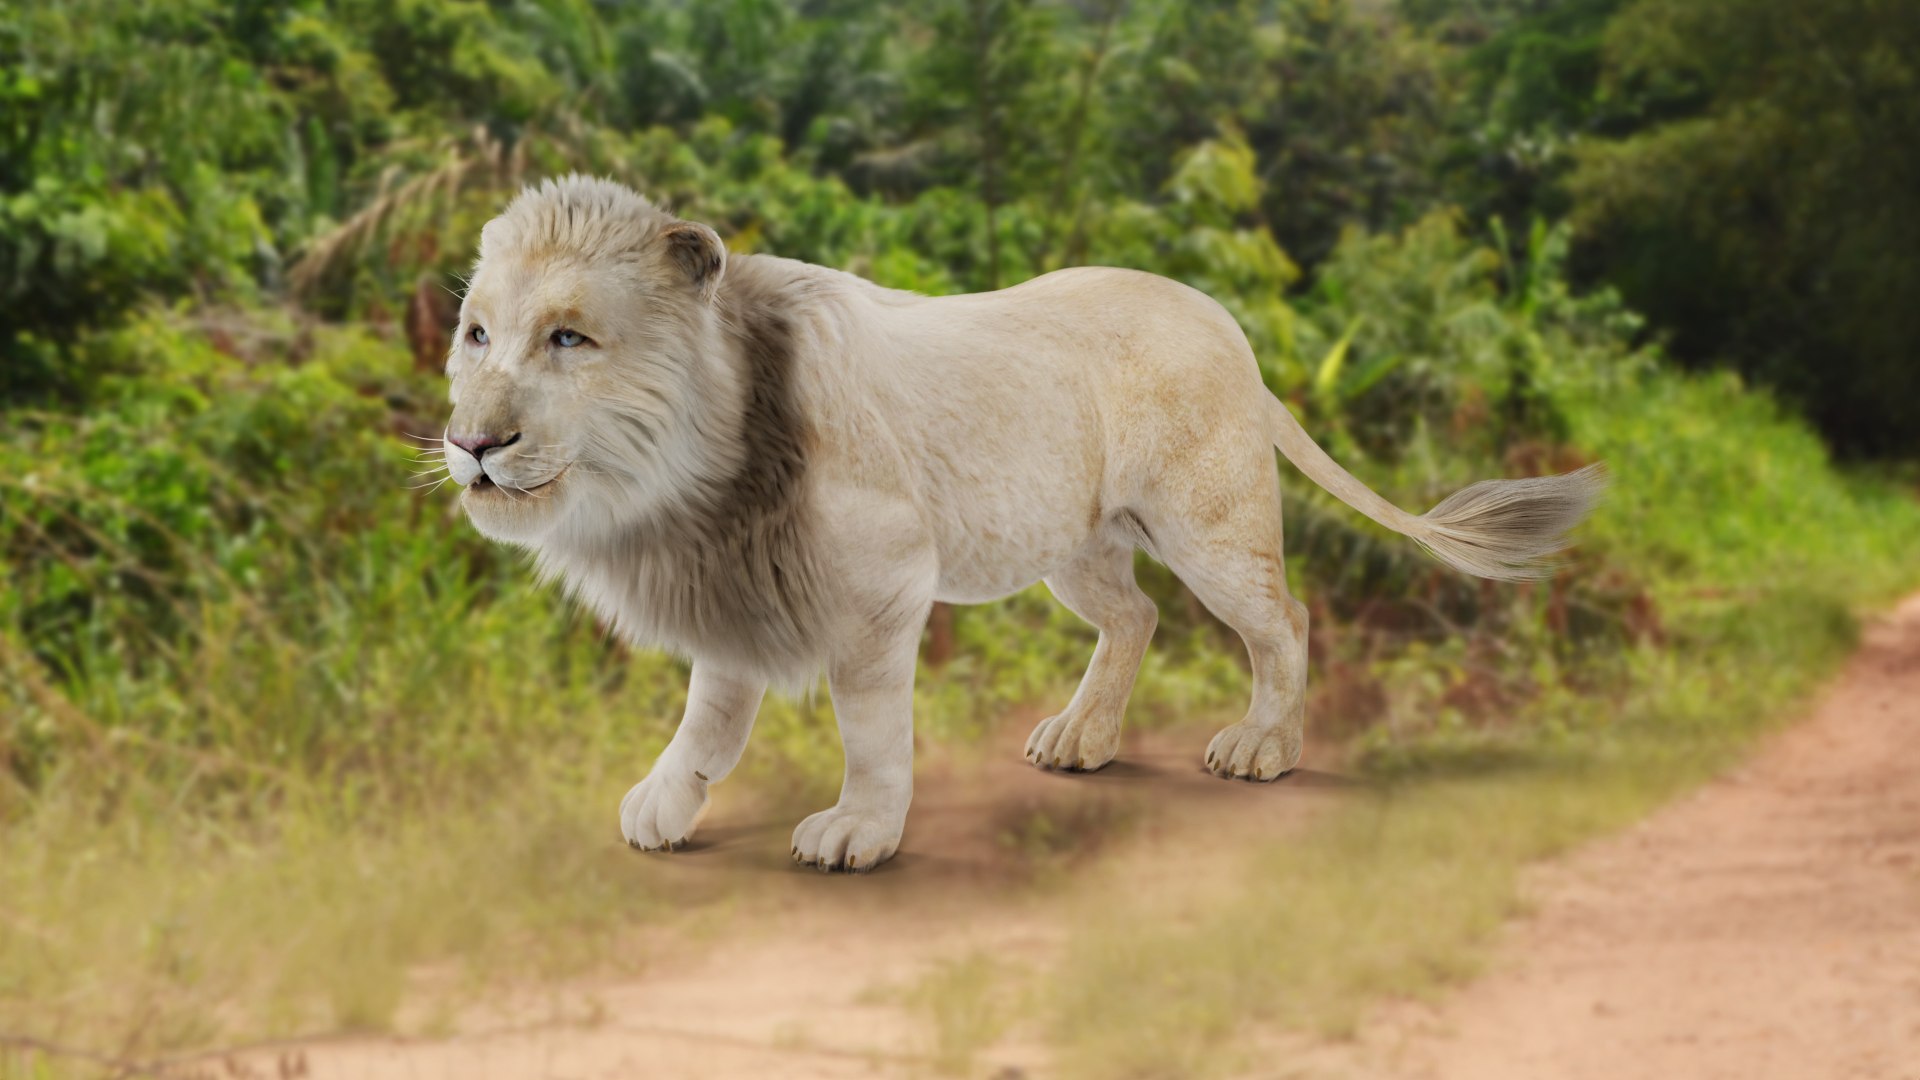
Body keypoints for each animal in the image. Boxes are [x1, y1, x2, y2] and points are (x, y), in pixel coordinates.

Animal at [440, 176, 1605, 872]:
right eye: (477, 334)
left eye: (570, 338)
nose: (471, 442)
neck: (690, 482)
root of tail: (1233, 334)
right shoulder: (738, 582)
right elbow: (709, 721)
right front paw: (665, 806)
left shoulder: (883, 581)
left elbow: (870, 727)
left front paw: (859, 830)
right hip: (1073, 541)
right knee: (1136, 619)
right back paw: (1080, 740)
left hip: (1208, 524)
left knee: (1286, 620)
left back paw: (1262, 748)